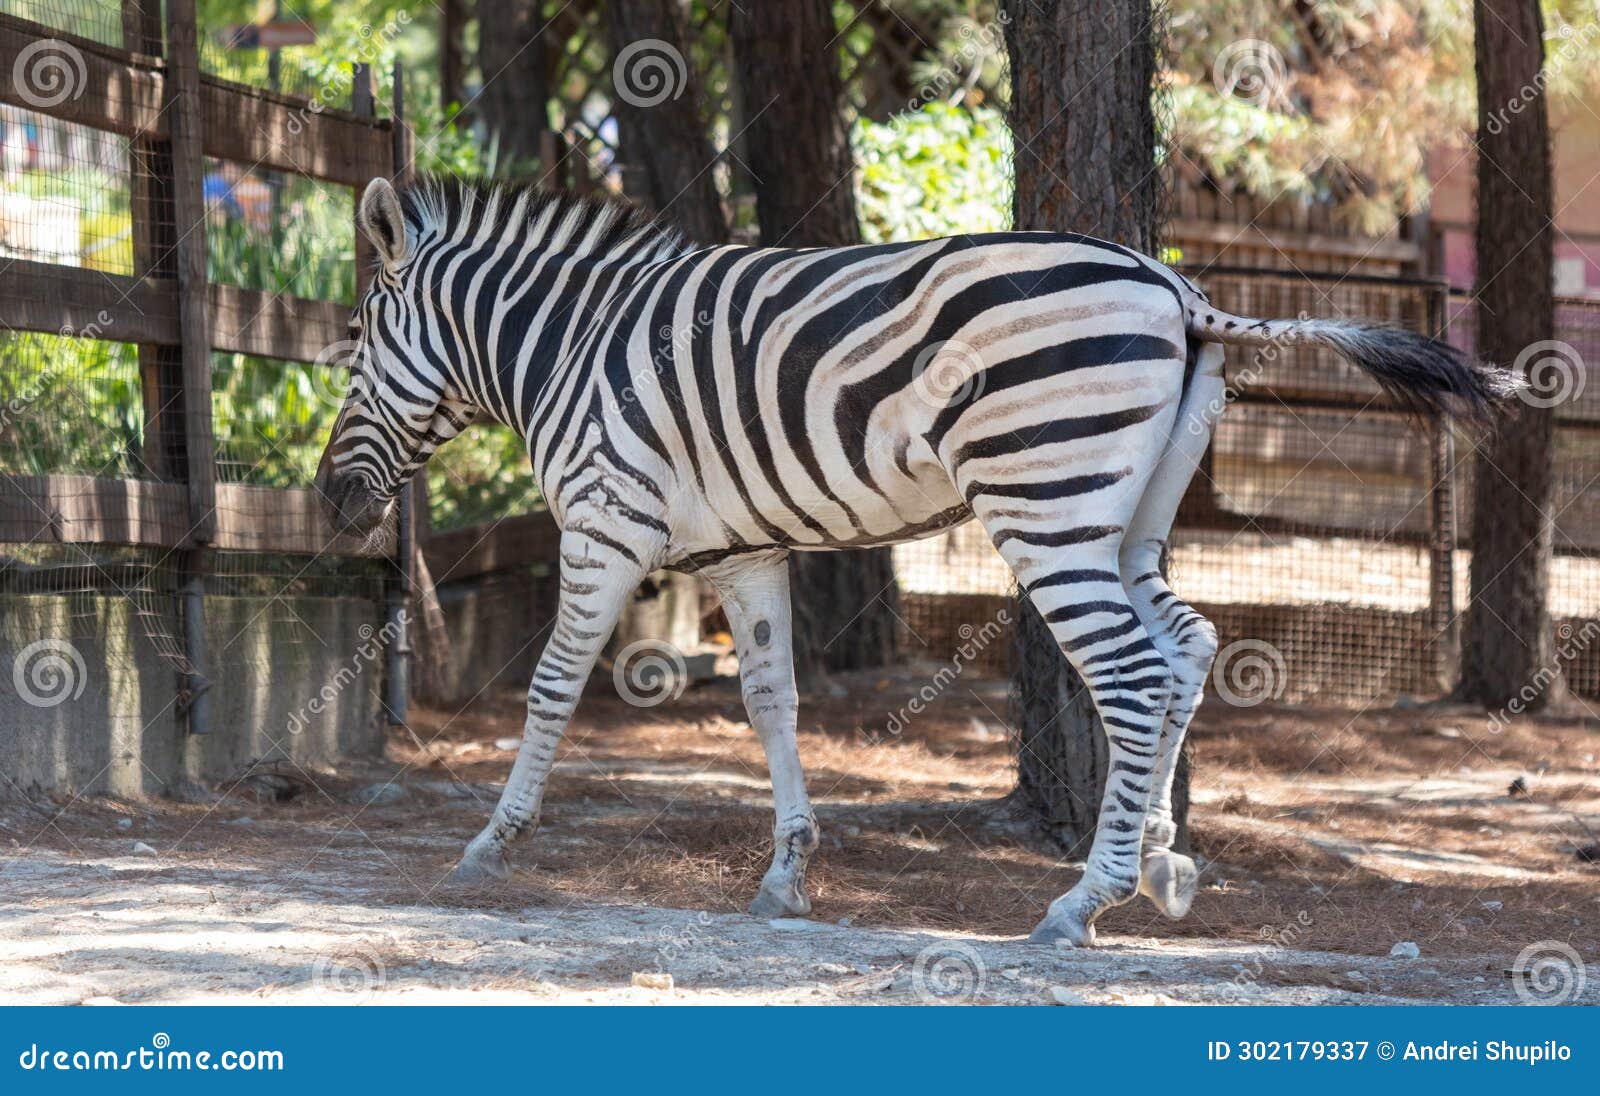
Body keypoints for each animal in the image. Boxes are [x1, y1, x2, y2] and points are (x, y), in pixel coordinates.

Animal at [315, 176, 1516, 946]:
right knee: (1186, 645)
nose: (329, 500)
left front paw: (492, 843)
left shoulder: (605, 523)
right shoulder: (744, 549)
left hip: (1045, 500)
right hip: (1126, 518)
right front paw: (787, 874)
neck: (568, 348)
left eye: (358, 343)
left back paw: (1085, 902)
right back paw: (1161, 863)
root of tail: (1176, 290)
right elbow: (771, 701)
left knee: (1132, 675)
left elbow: (553, 686)